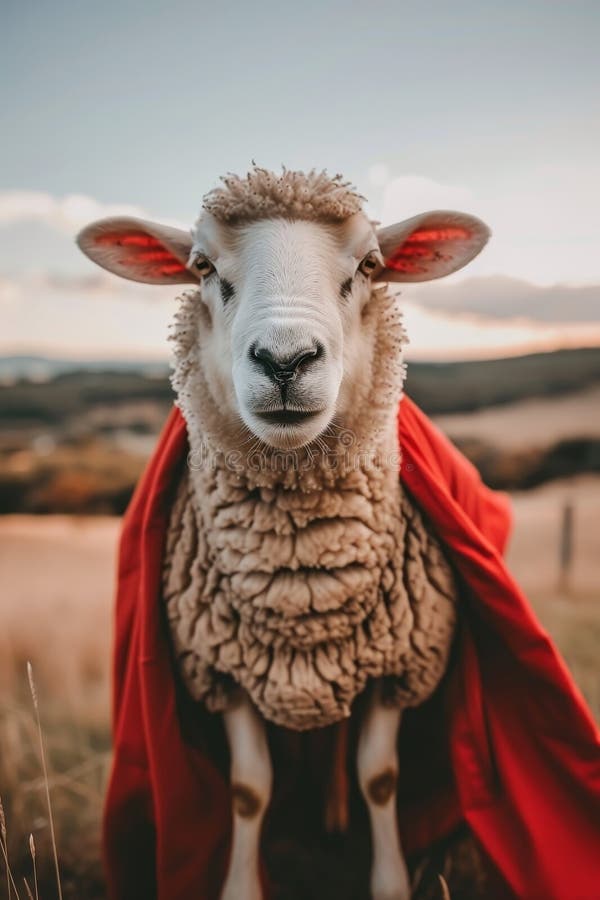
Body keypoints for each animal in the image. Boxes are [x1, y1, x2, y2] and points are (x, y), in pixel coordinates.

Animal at [77, 165, 490, 900]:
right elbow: (248, 791)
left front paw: (386, 879)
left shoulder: (400, 669)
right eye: (203, 267)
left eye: (370, 266)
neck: (301, 584)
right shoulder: (221, 672)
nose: (285, 360)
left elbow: (380, 779)